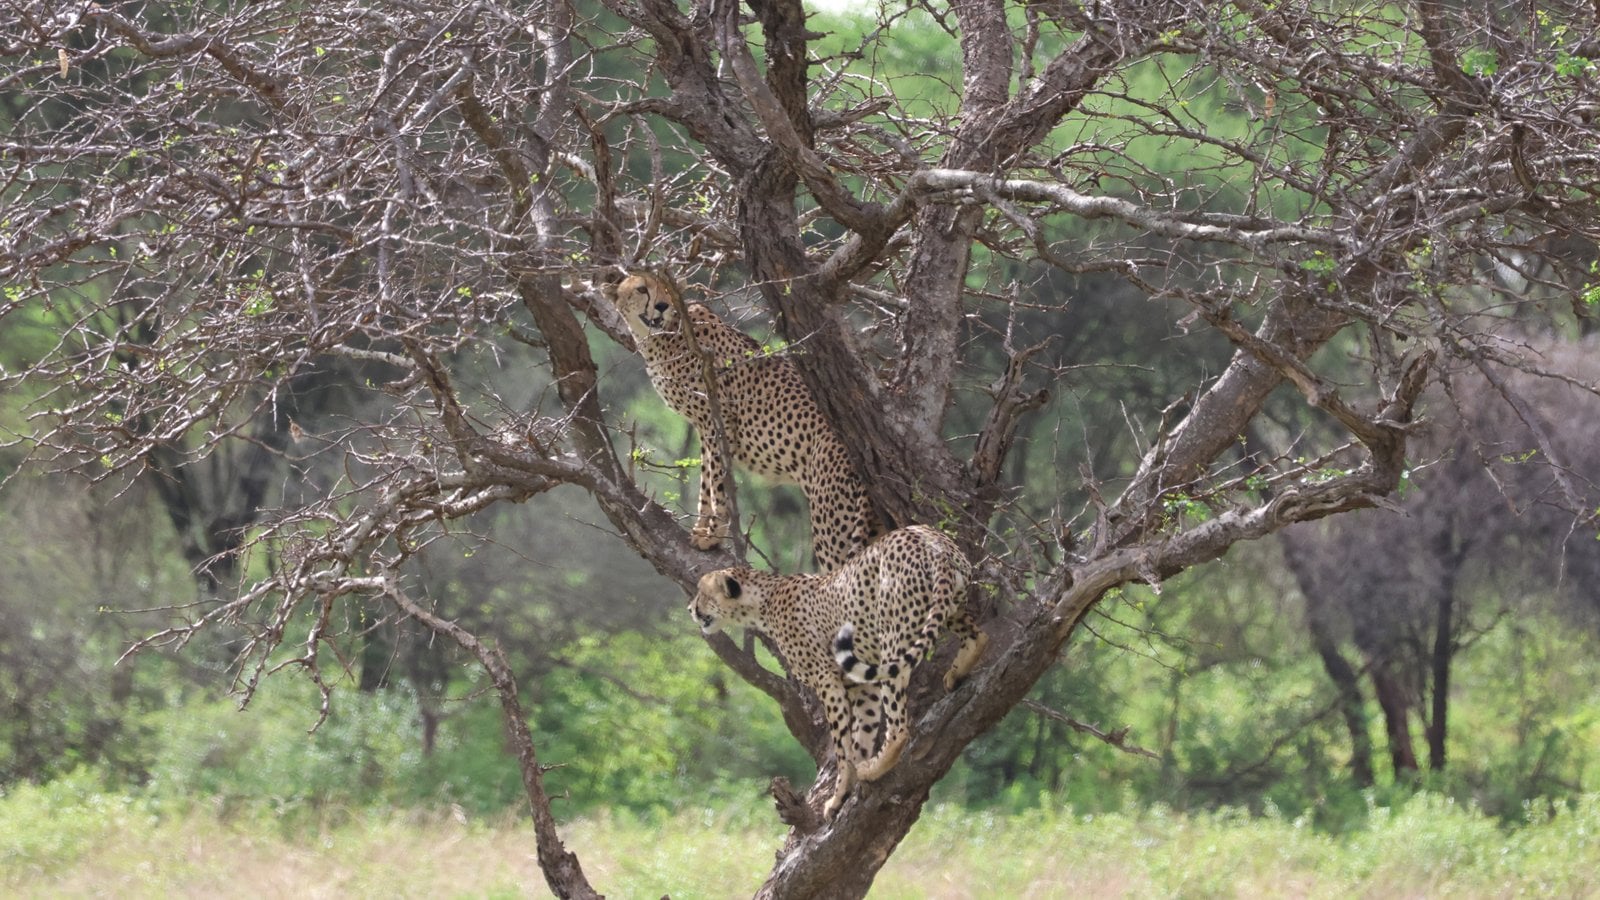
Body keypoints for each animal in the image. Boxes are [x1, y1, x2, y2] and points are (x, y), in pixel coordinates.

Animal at [612, 271, 880, 573]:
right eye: (642, 289)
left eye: (667, 289)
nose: (661, 306)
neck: (666, 335)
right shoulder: (704, 426)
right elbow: (705, 484)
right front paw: (702, 530)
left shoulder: (719, 419)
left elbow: (718, 483)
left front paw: (713, 536)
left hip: (832, 521)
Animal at [688, 524, 989, 819]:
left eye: (703, 592)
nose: (691, 608)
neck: (764, 601)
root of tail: (932, 542)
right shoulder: (861, 686)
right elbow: (862, 736)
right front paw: (852, 786)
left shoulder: (827, 680)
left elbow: (843, 746)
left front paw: (840, 793)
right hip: (948, 607)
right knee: (978, 637)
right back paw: (956, 673)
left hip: (893, 639)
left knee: (900, 727)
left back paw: (875, 768)